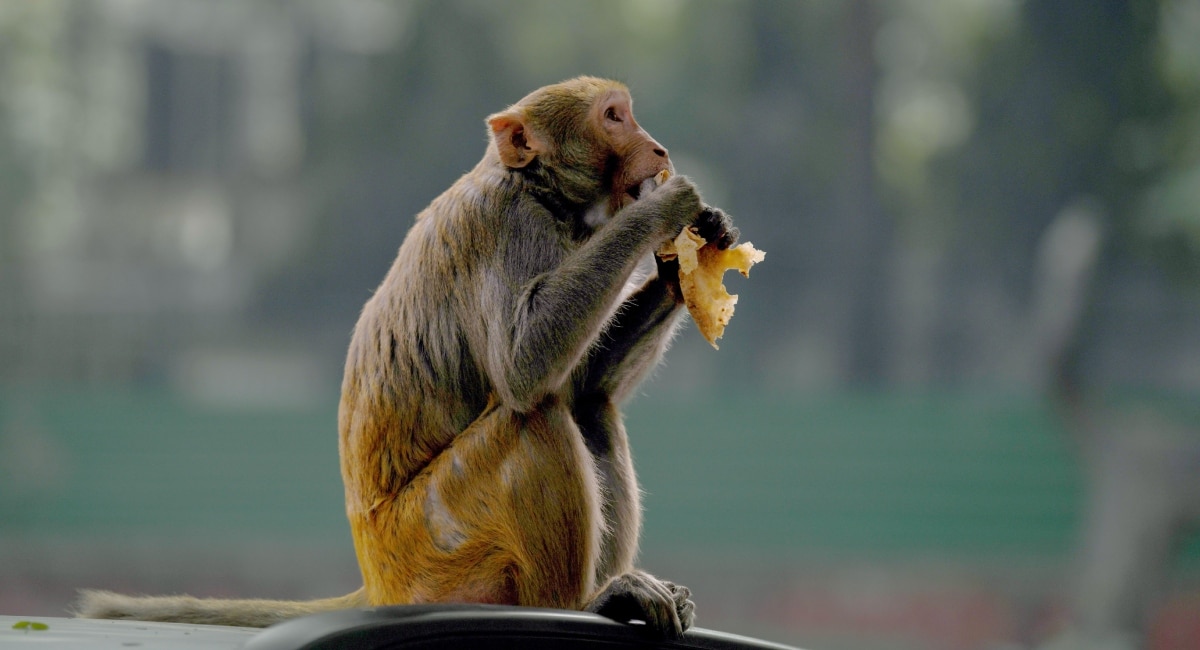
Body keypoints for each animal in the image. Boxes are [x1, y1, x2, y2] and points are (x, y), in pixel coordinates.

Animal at [77, 76, 739, 639]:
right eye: (613, 117)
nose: (657, 148)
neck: (539, 191)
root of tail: (376, 581)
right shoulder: (507, 226)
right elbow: (525, 366)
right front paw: (663, 210)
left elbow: (584, 382)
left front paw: (686, 259)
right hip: (434, 547)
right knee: (537, 418)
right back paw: (582, 602)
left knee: (591, 407)